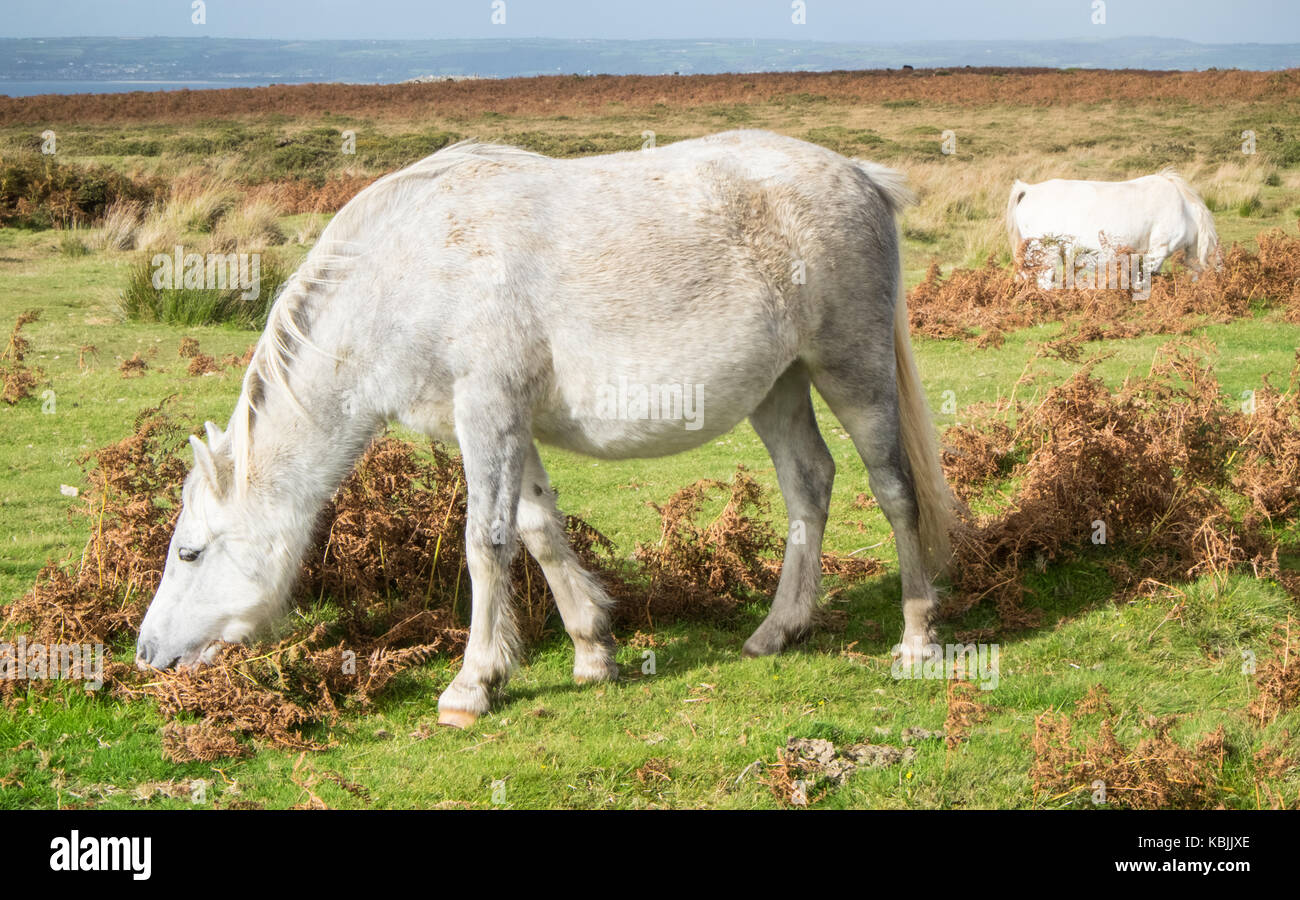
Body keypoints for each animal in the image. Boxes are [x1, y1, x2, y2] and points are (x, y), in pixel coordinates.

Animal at [134, 130, 955, 728]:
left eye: (189, 552)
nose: (145, 654)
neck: (405, 272)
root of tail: (858, 175)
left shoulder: (488, 412)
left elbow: (486, 543)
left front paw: (472, 686)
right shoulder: (507, 423)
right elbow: (536, 530)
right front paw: (593, 651)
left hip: (852, 372)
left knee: (894, 490)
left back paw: (917, 637)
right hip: (779, 389)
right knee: (809, 485)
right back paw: (778, 630)